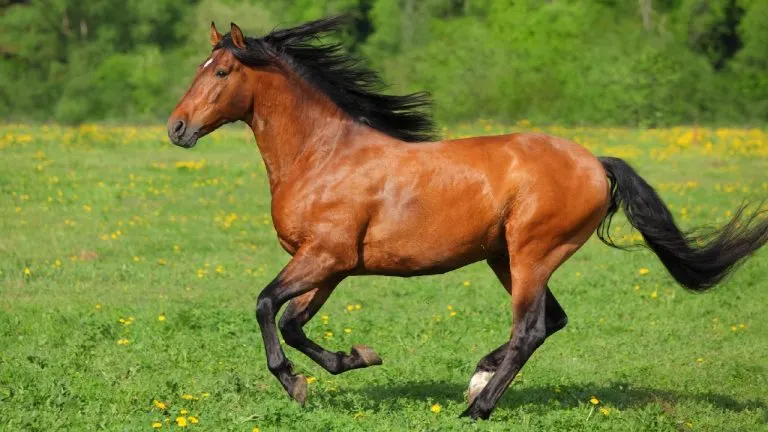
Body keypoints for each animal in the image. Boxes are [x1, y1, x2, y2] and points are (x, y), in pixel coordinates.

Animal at [167, 16, 768, 420]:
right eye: (199, 68)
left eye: (222, 71)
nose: (177, 128)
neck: (322, 156)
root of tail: (595, 162)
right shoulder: (330, 267)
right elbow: (293, 322)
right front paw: (356, 358)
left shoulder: (325, 256)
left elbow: (266, 305)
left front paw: (296, 384)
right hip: (504, 256)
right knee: (552, 321)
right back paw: (478, 380)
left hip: (532, 253)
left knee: (530, 329)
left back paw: (477, 407)